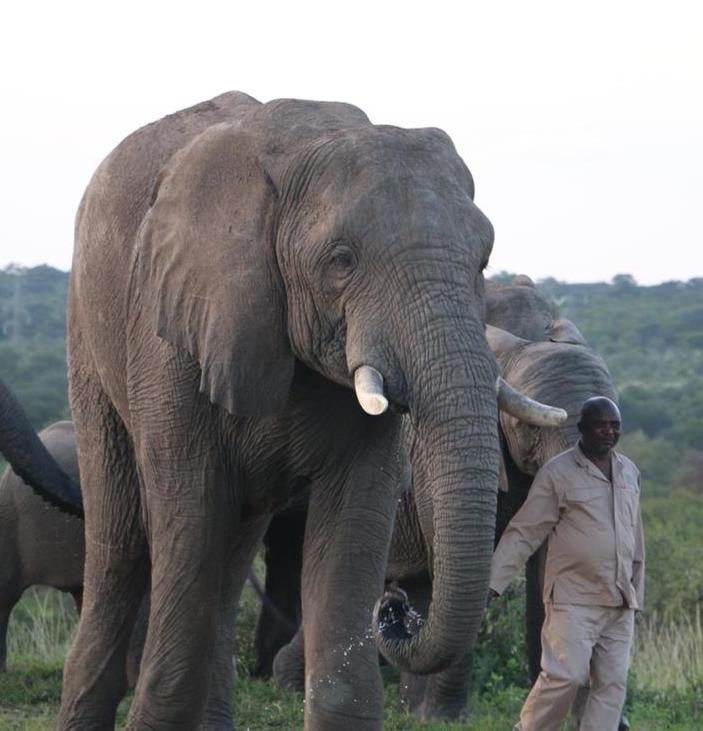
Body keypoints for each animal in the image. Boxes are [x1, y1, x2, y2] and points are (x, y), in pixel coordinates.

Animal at [58, 91, 561, 731]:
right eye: (341, 261)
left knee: (230, 557)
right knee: (121, 545)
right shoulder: (170, 329)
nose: (395, 608)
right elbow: (188, 510)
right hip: (88, 336)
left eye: (482, 260)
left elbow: (353, 516)